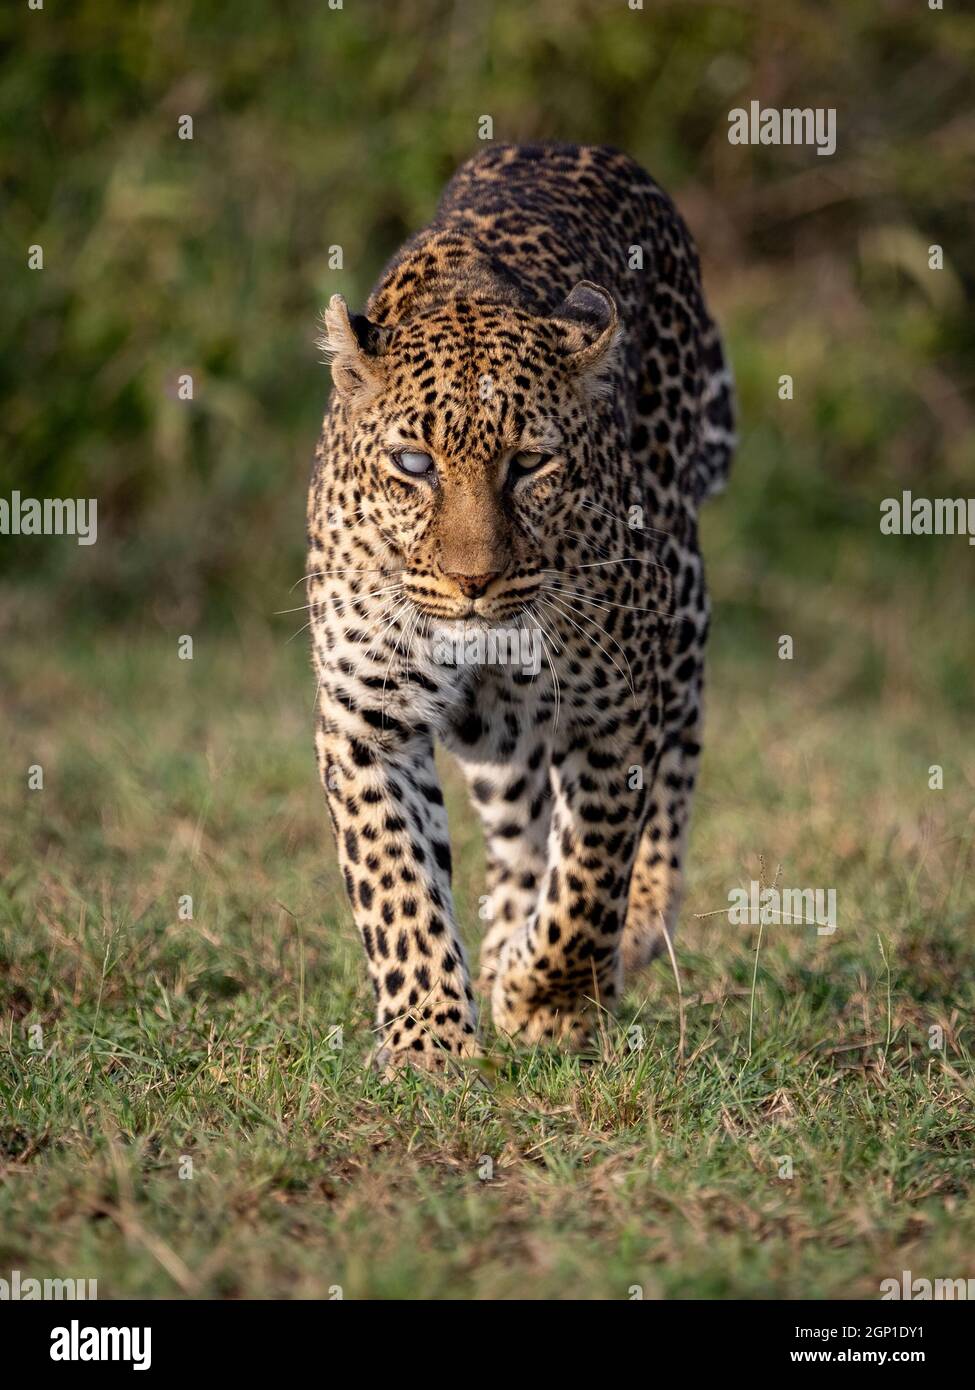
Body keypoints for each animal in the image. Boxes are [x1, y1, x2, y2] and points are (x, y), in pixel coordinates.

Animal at [306, 143, 735, 1071]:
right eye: (413, 463)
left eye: (530, 464)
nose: (474, 582)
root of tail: (578, 146)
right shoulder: (366, 722)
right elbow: (398, 882)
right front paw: (430, 1039)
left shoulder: (615, 708)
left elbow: (591, 869)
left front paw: (552, 999)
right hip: (494, 731)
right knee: (515, 825)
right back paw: (504, 939)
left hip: (680, 597)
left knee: (674, 771)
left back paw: (634, 926)